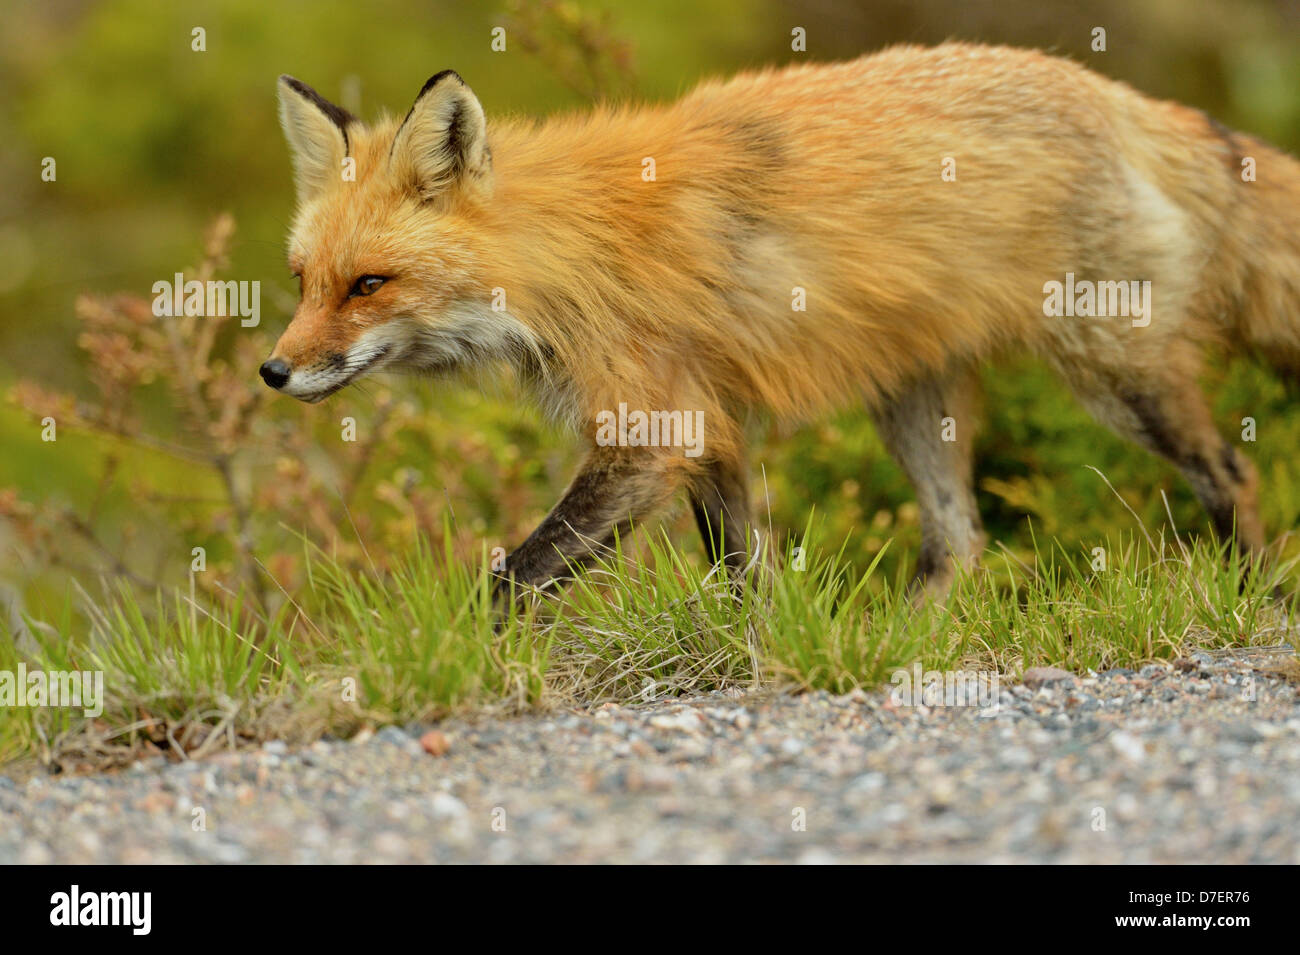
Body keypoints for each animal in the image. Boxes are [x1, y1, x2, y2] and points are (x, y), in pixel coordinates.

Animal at [263, 43, 1300, 599]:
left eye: (369, 285)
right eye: (304, 281)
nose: (273, 373)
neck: (568, 255)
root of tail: (1120, 98)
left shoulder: (653, 430)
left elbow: (511, 580)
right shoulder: (707, 426)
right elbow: (741, 577)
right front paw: (757, 658)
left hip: (1117, 374)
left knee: (1232, 470)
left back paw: (1252, 591)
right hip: (913, 401)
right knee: (960, 545)